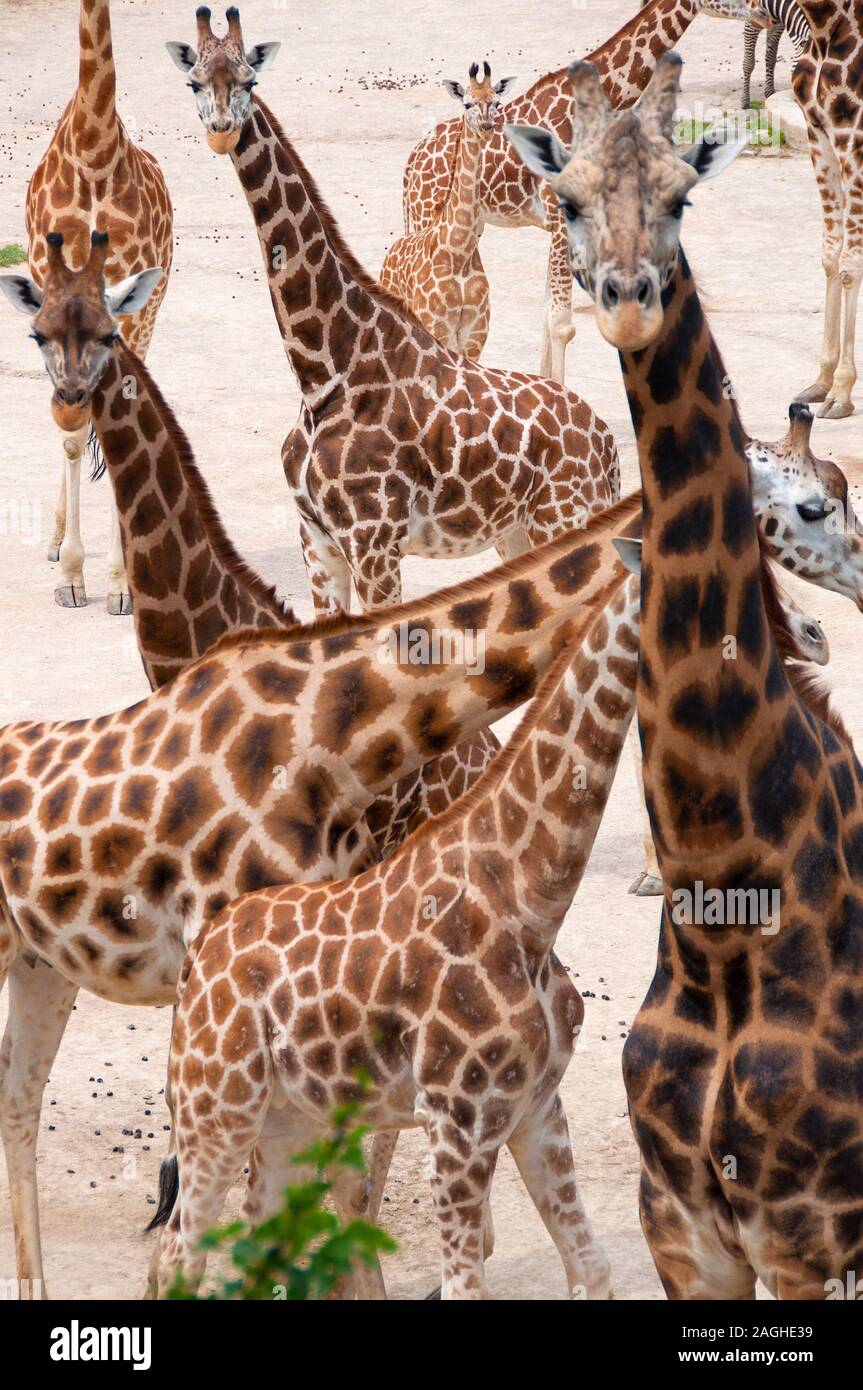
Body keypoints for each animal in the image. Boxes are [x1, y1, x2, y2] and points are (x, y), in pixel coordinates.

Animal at [379, 62, 516, 360]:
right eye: (467, 103)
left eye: (496, 102)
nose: (486, 126)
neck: (459, 254)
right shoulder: (440, 330)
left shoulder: (474, 338)